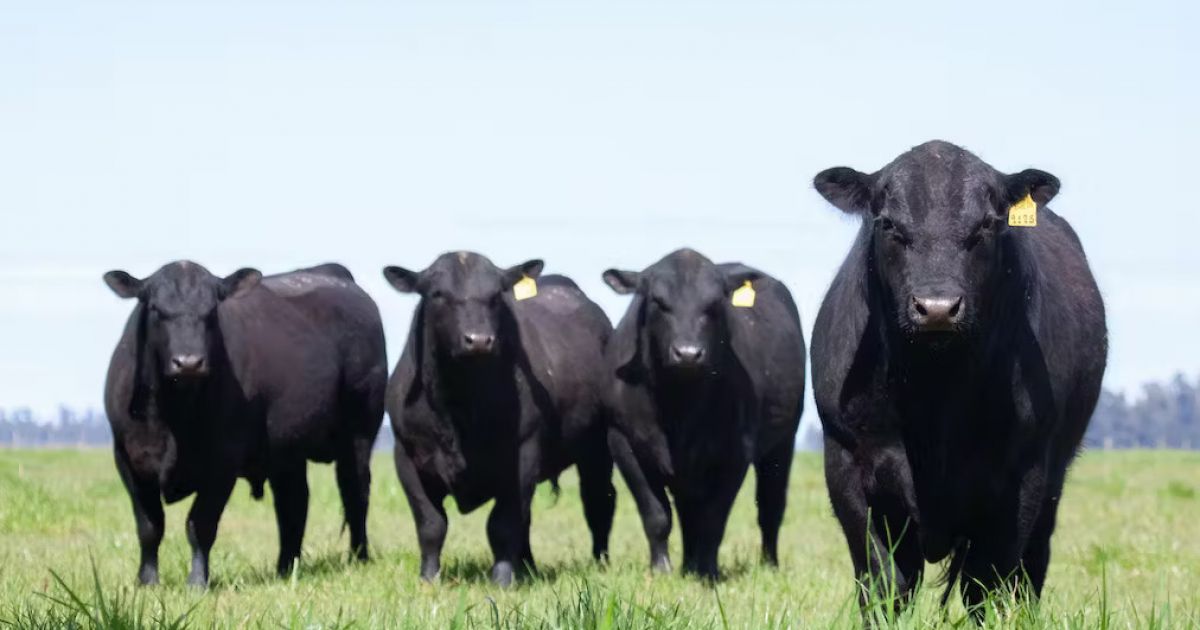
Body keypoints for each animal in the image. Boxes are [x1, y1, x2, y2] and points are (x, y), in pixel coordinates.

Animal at [103, 261, 387, 588]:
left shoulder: (223, 462)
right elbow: (150, 526)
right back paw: (285, 567)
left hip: (359, 432)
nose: (188, 362)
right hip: (287, 450)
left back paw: (358, 558)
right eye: (155, 309)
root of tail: (333, 273)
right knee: (294, 504)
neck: (174, 415)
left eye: (212, 311)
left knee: (355, 493)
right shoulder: (128, 459)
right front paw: (147, 581)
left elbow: (200, 524)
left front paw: (197, 582)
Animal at [383, 252, 615, 587]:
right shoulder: (407, 458)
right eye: (438, 294)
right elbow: (431, 524)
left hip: (597, 448)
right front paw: (428, 578)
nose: (479, 340)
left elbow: (503, 524)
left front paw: (502, 580)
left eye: (495, 295)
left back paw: (599, 562)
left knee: (599, 501)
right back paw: (528, 566)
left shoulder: (522, 456)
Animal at [602, 248, 806, 579]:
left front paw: (708, 571)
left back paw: (768, 564)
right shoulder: (623, 442)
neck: (678, 405)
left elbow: (713, 519)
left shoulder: (735, 454)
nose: (688, 353)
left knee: (771, 508)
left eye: (714, 304)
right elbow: (656, 514)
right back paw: (688, 564)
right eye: (658, 301)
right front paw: (662, 569)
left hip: (783, 442)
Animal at [810, 140, 1107, 616]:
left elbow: (985, 584)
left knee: (1031, 566)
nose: (936, 308)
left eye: (986, 223)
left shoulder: (1021, 476)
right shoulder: (847, 463)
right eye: (888, 223)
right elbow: (883, 581)